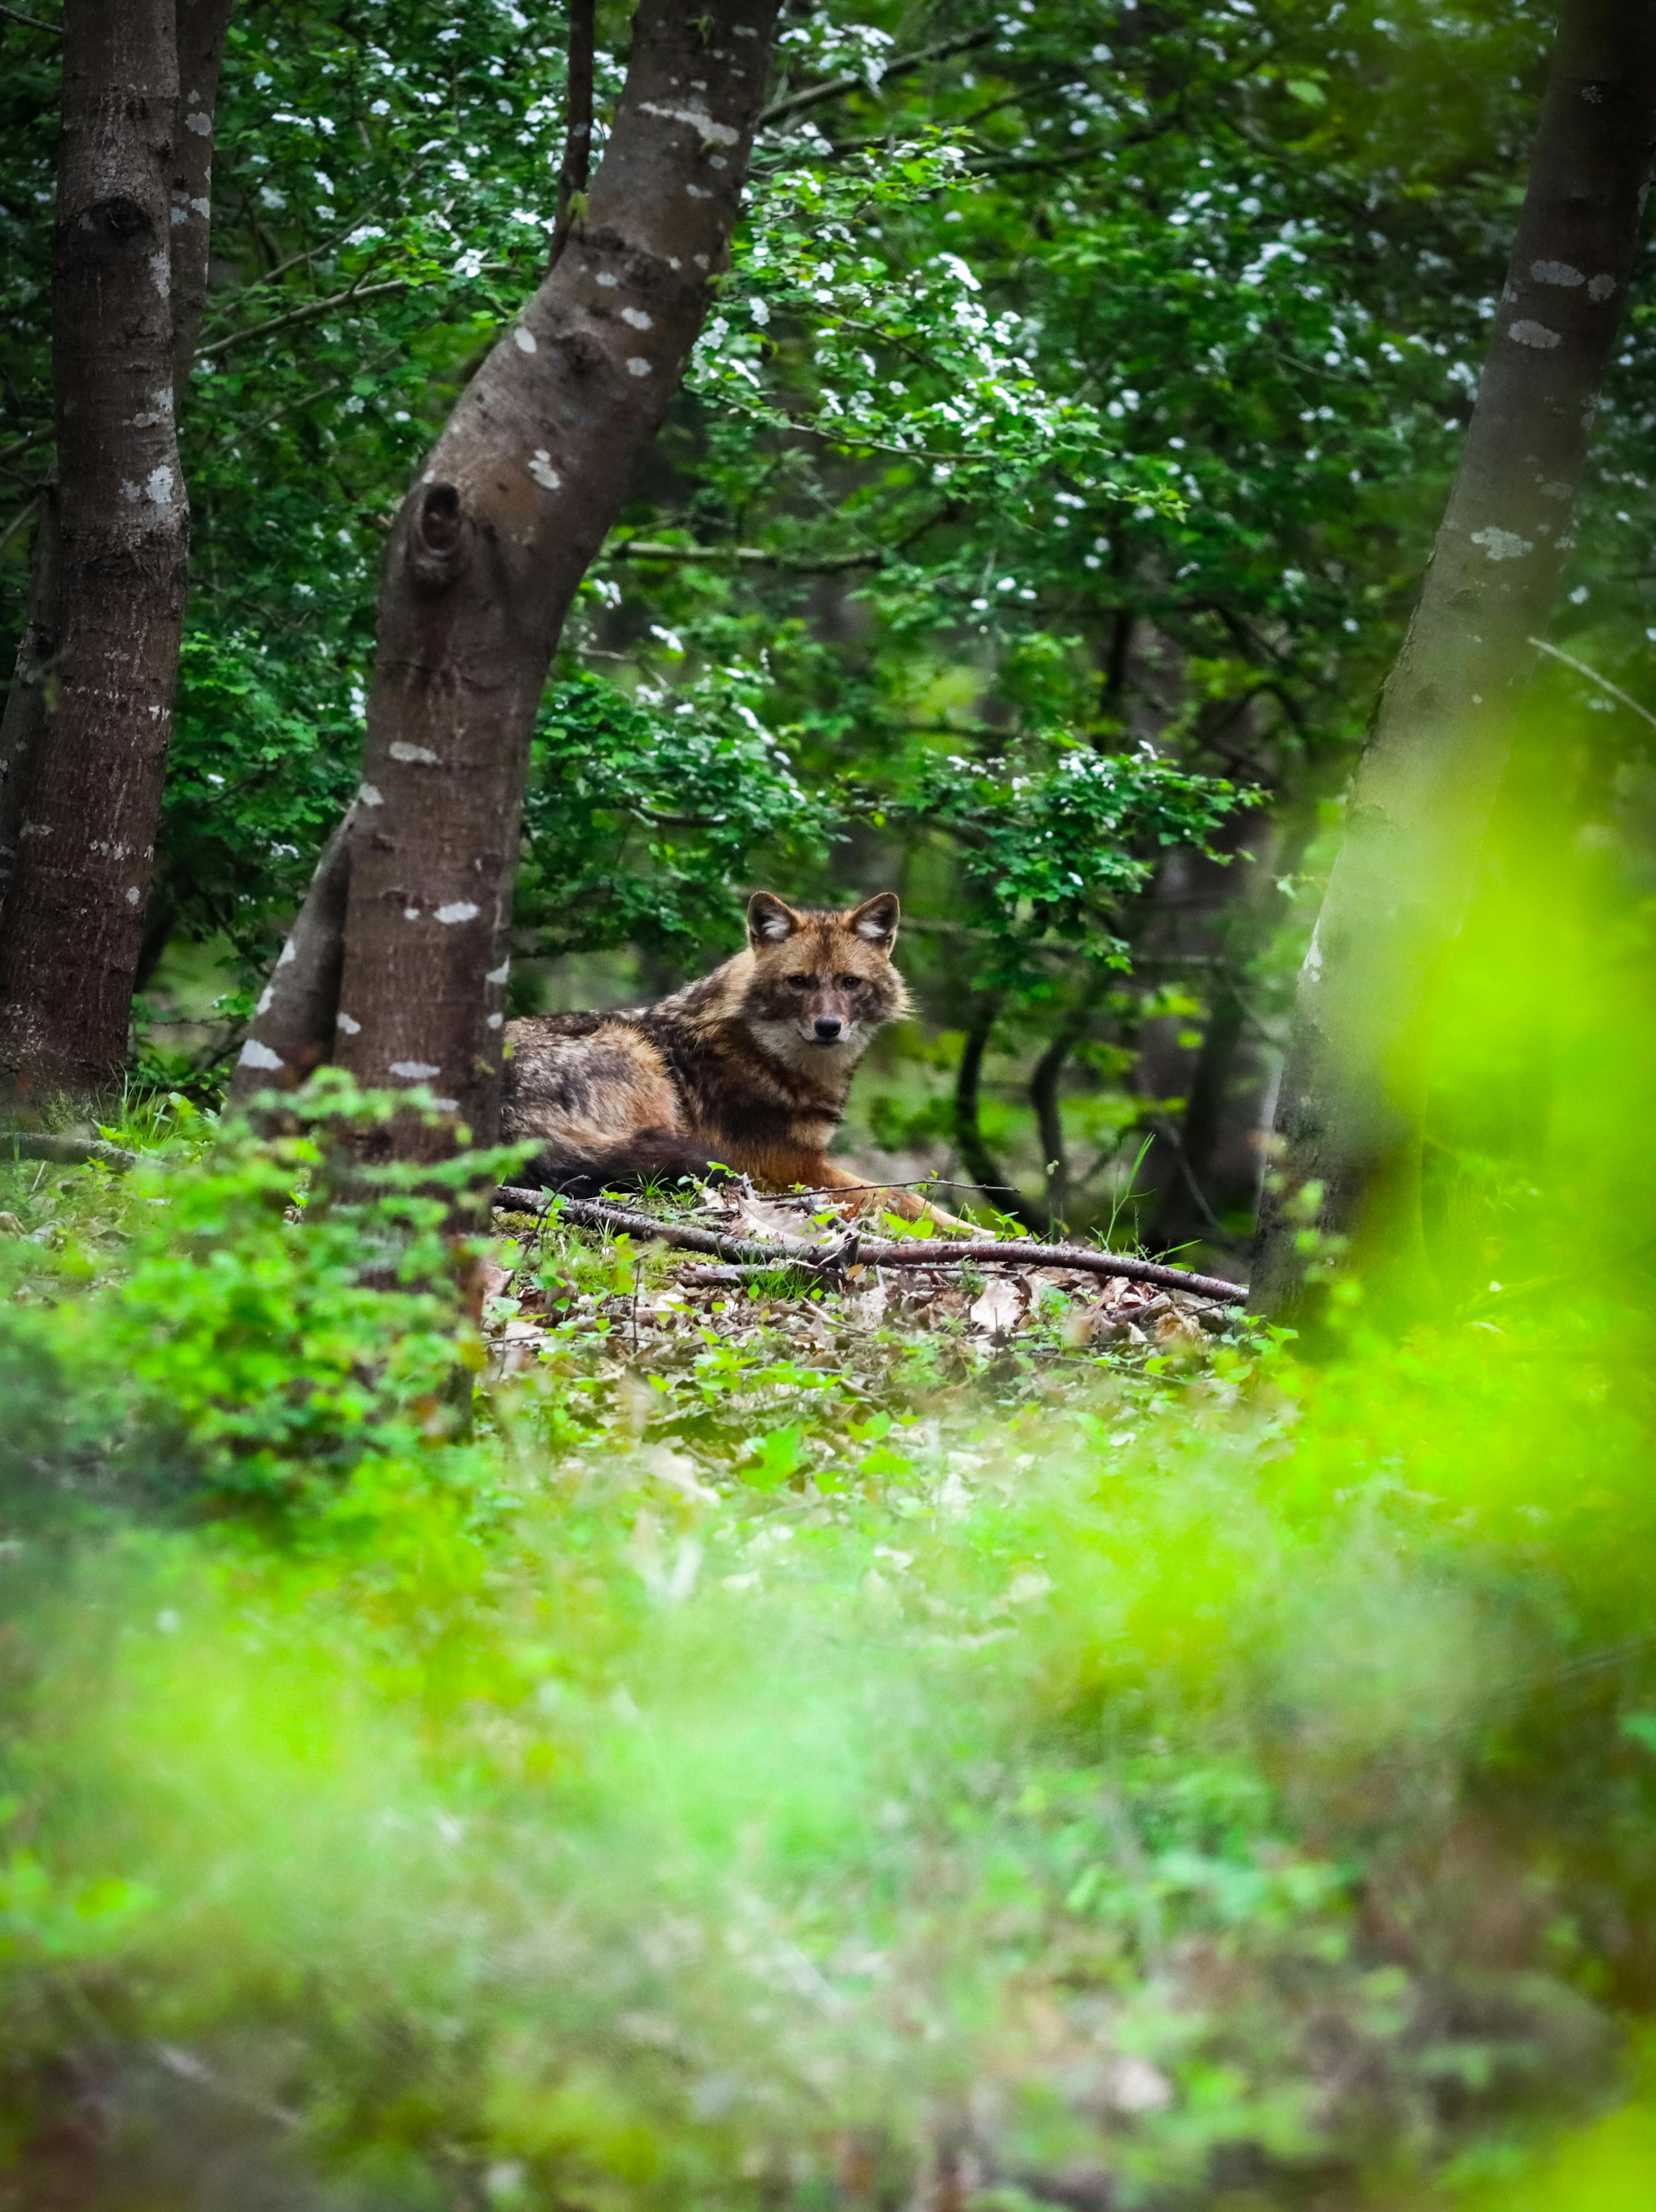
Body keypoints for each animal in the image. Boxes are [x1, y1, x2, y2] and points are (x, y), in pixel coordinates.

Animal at [501, 890, 949, 1220]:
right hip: (640, 1057)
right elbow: (907, 1200)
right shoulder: (793, 1167)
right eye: (799, 982)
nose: (828, 1027)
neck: (770, 1059)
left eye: (850, 983)